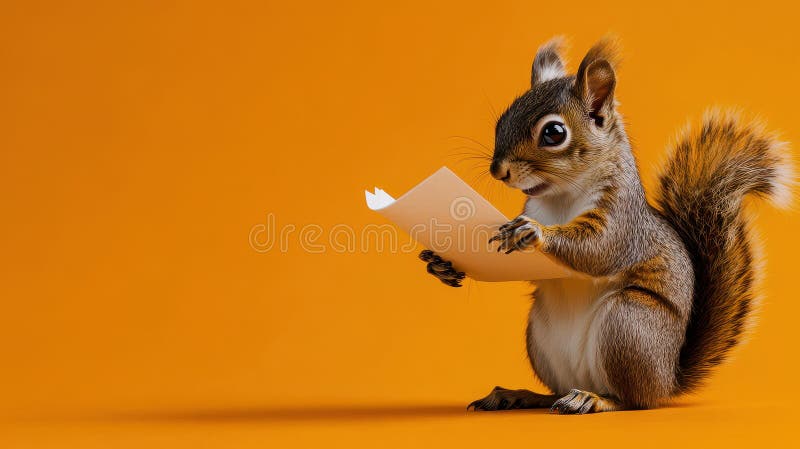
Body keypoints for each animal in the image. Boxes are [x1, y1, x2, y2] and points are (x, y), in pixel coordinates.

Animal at [419, 37, 794, 414]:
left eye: (554, 133)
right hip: (541, 337)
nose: (499, 170)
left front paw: (535, 233)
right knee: (557, 391)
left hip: (628, 326)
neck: (561, 197)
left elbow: (599, 249)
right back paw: (522, 395)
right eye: (501, 120)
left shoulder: (622, 219)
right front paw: (441, 264)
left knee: (631, 400)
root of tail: (666, 380)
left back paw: (595, 399)